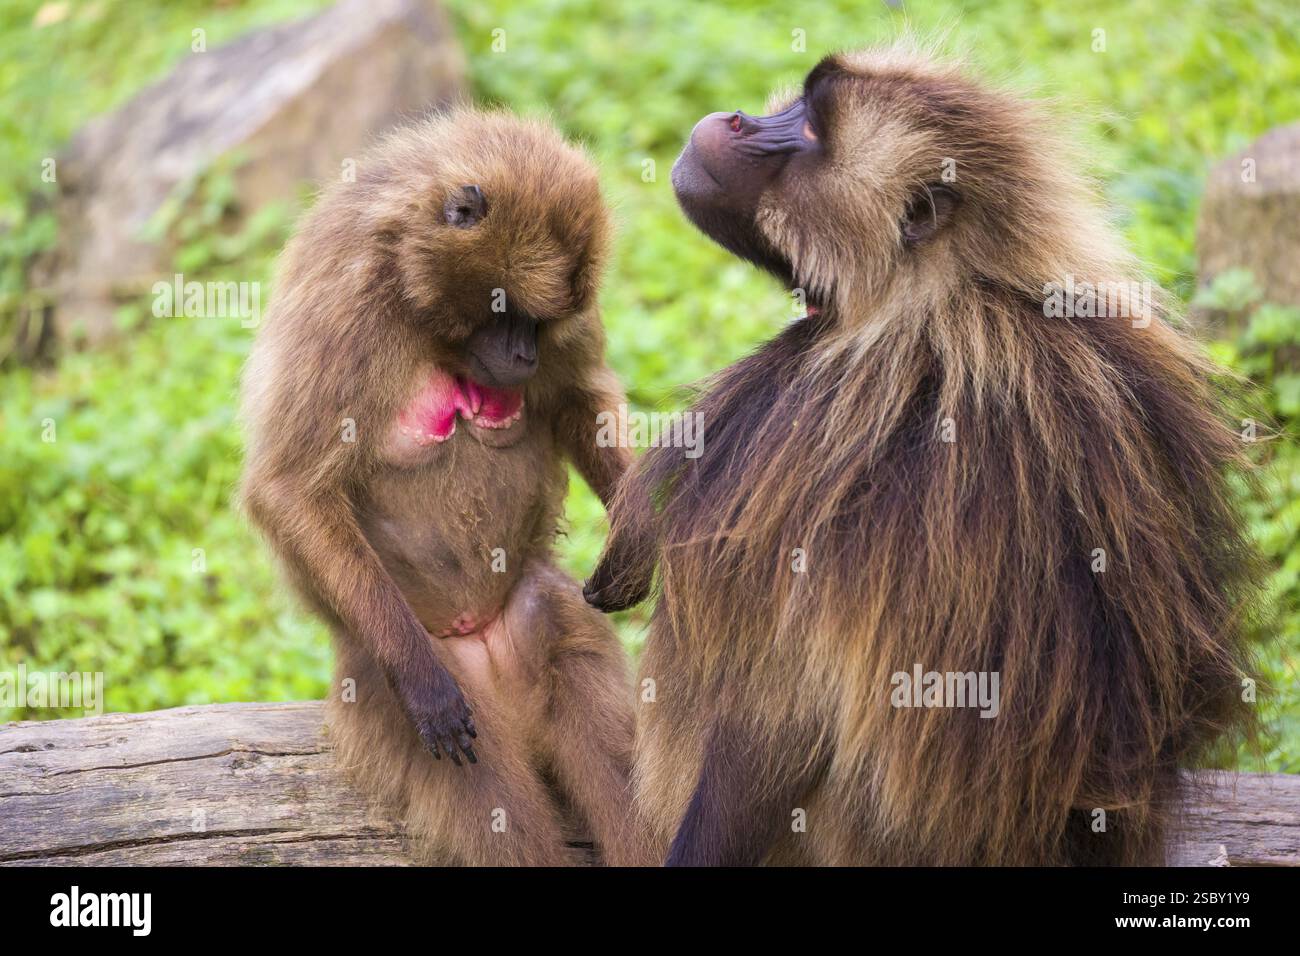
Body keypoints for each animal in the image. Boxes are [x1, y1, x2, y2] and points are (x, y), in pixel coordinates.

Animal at [239, 109, 646, 866]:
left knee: (609, 754)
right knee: (501, 810)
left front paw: (639, 540)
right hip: (383, 683)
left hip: (541, 617)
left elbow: (577, 399)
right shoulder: (343, 306)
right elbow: (289, 488)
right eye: (507, 310)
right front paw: (426, 687)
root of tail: (481, 641)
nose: (523, 357)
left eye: (541, 321)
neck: (412, 291)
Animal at [584, 44, 1260, 866]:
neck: (929, 297)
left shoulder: (828, 425)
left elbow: (782, 711)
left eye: (812, 129)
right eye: (798, 104)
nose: (735, 119)